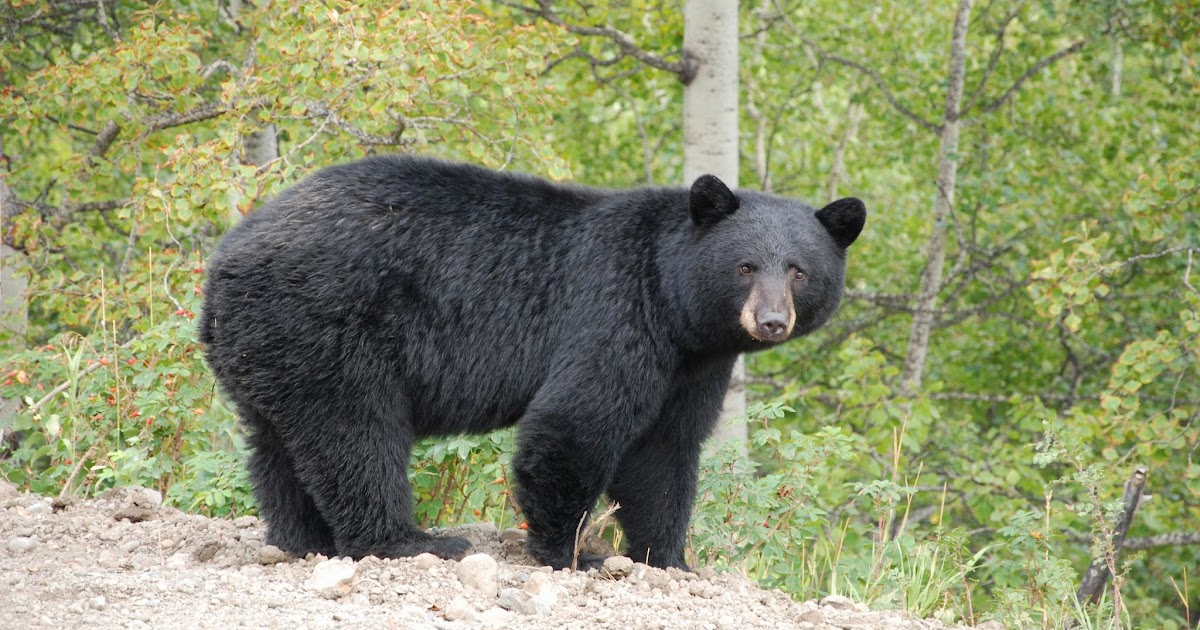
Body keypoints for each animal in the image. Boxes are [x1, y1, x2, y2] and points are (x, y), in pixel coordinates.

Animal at [198, 155, 864, 570]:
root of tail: (225, 261)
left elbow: (665, 451)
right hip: (329, 326)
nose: (772, 321)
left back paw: (301, 539)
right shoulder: (614, 312)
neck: (674, 304)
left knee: (278, 445)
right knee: (355, 434)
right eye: (745, 266)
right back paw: (409, 541)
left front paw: (667, 558)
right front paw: (573, 553)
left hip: (271, 345)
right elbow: (574, 424)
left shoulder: (693, 364)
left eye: (799, 271)